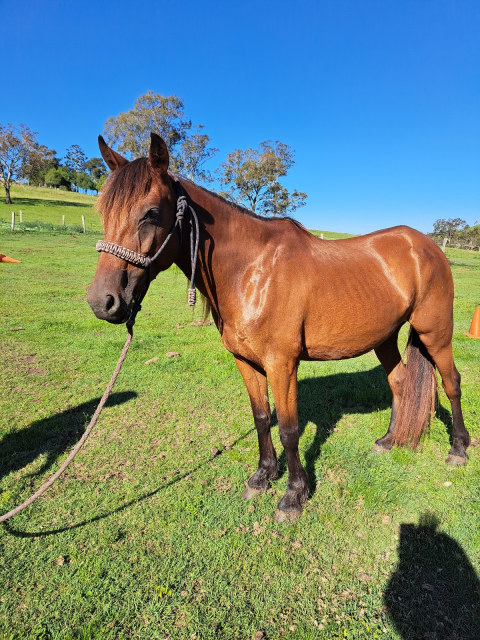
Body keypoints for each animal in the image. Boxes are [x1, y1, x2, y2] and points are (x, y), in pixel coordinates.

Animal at [87, 132, 470, 522]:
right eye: (103, 212)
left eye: (151, 213)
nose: (103, 302)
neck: (252, 271)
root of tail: (426, 245)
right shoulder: (246, 362)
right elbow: (261, 418)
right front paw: (262, 476)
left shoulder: (282, 364)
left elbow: (288, 429)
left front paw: (293, 495)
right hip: (385, 338)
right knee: (400, 382)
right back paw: (389, 441)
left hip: (436, 332)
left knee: (451, 382)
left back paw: (458, 450)